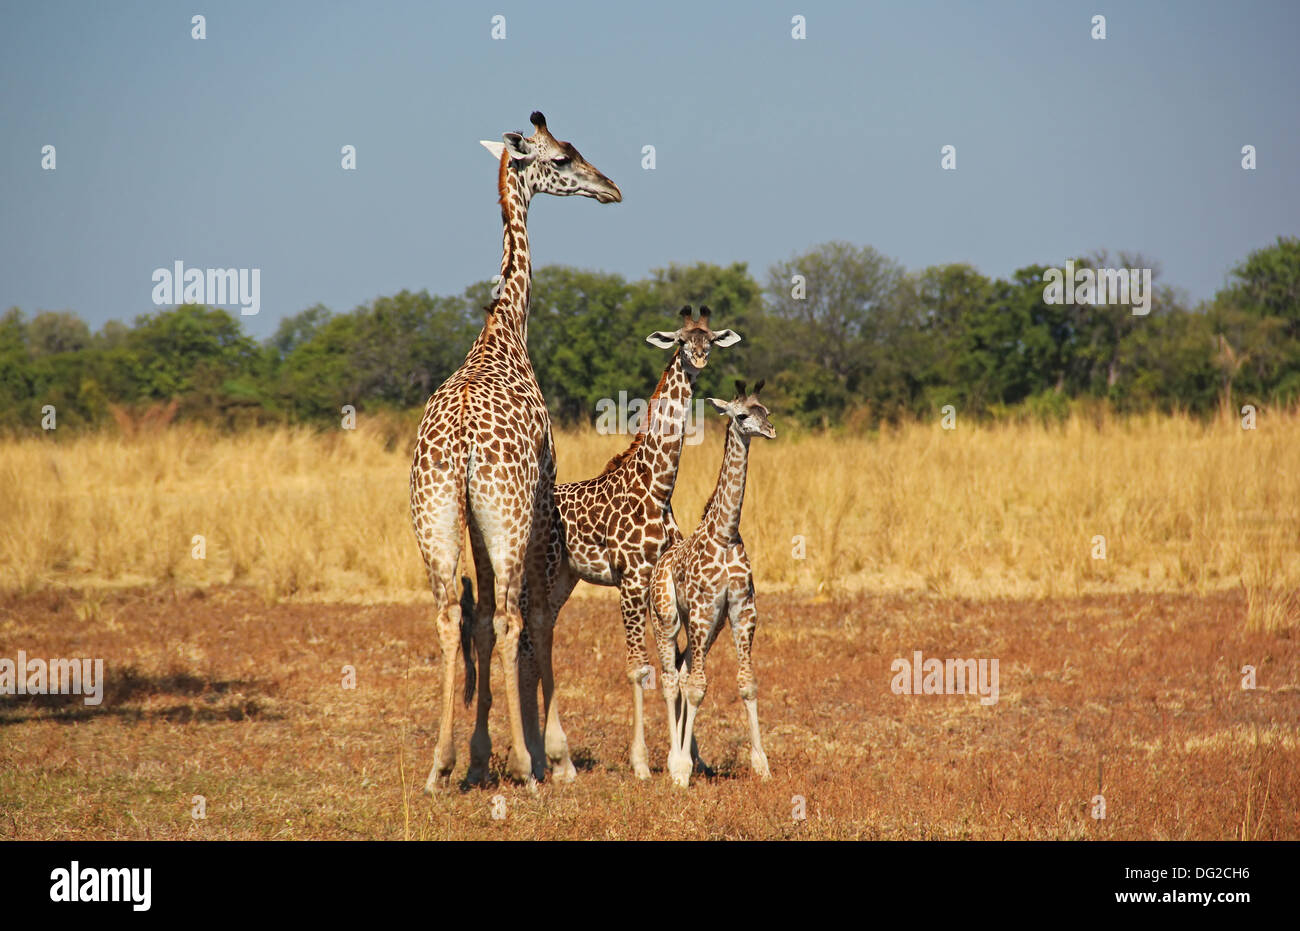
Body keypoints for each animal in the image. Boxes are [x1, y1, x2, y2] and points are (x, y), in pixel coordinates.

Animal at [410, 111, 620, 790]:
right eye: (562, 157)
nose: (610, 187)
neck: (504, 332)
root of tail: (461, 446)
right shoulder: (538, 496)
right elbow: (532, 620)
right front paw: (546, 754)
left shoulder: (478, 523)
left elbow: (476, 622)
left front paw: (477, 757)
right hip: (506, 514)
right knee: (508, 615)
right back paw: (527, 768)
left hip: (436, 515)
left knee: (451, 615)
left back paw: (440, 765)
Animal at [517, 307, 741, 781]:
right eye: (681, 340)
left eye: (711, 337)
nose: (699, 357)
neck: (657, 486)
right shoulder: (632, 579)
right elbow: (640, 669)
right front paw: (641, 763)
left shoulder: (661, 580)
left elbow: (677, 662)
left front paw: (692, 759)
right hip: (539, 577)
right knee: (529, 642)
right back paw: (544, 756)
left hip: (564, 579)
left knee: (533, 643)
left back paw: (544, 756)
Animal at [650, 379, 775, 787]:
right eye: (743, 415)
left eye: (766, 410)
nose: (770, 430)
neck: (726, 533)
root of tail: (660, 562)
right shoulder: (703, 609)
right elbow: (696, 688)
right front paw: (681, 770)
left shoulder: (740, 610)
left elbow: (747, 683)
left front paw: (762, 765)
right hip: (669, 619)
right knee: (671, 679)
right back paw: (674, 760)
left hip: (709, 626)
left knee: (684, 671)